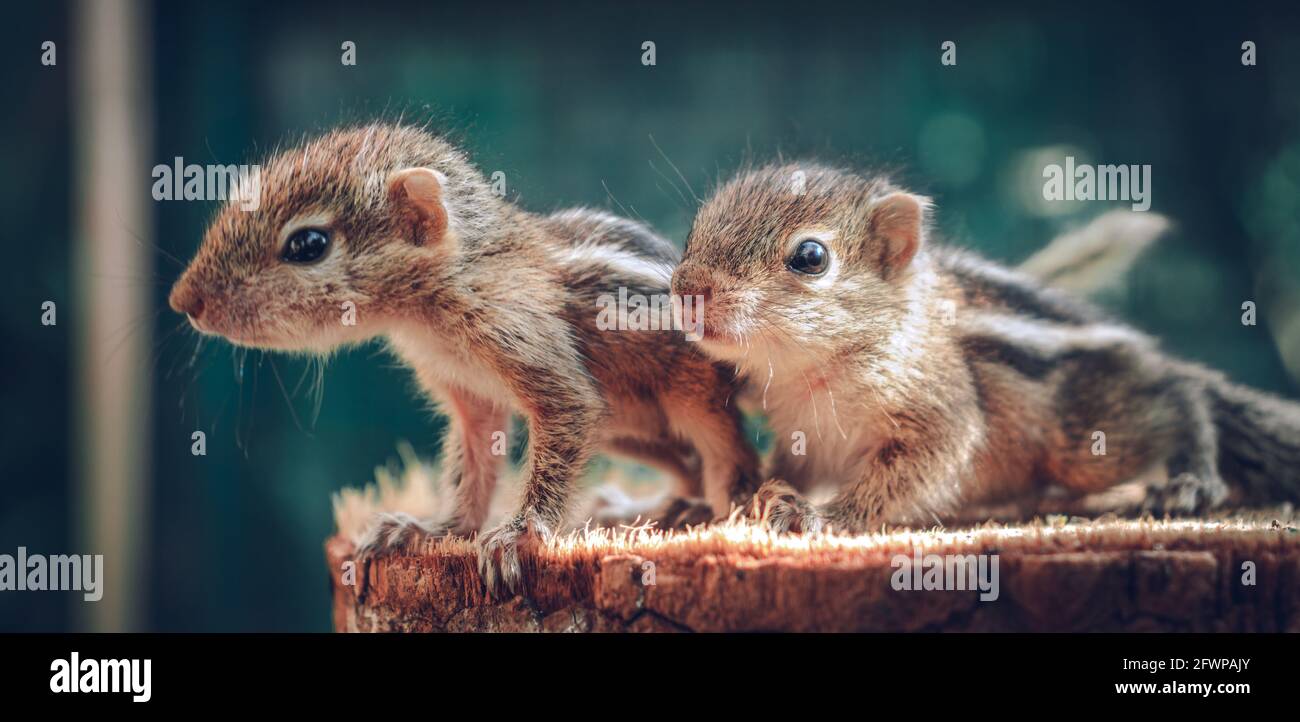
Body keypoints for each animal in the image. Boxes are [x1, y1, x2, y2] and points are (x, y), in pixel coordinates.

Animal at [168, 123, 761, 593]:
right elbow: (470, 469)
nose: (182, 301)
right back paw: (640, 507)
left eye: (308, 245)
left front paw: (516, 538)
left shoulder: (534, 354)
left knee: (734, 463)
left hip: (693, 403)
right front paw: (431, 530)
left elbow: (560, 424)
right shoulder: (470, 400)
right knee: (686, 466)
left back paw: (708, 511)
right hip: (629, 432)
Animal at [671, 163, 1300, 532]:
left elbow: (911, 473)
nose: (688, 290)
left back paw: (1191, 476)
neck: (810, 369)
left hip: (1091, 442)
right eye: (693, 231)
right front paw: (724, 502)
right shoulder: (802, 437)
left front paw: (822, 515)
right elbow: (782, 466)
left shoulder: (938, 411)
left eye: (810, 257)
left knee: (1182, 392)